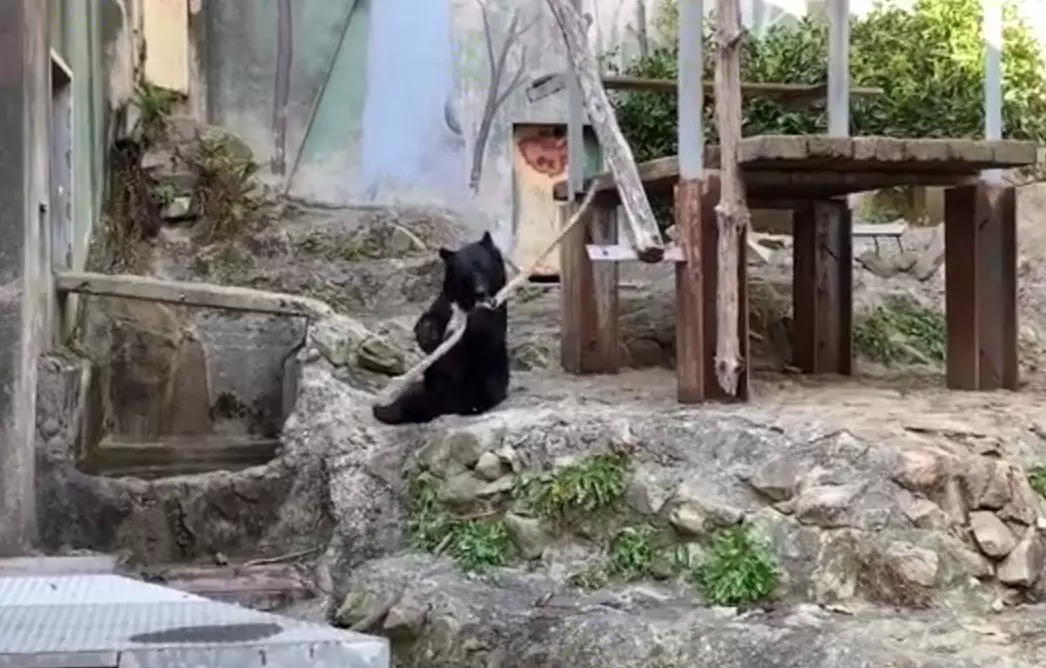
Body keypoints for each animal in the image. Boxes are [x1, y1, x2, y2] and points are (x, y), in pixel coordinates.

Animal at [372, 229, 510, 426]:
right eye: (466, 274)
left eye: (484, 267)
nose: (480, 292)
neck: (465, 305)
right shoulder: (445, 304)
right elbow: (428, 320)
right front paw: (429, 334)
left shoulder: (495, 311)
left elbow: (484, 334)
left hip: (480, 383)